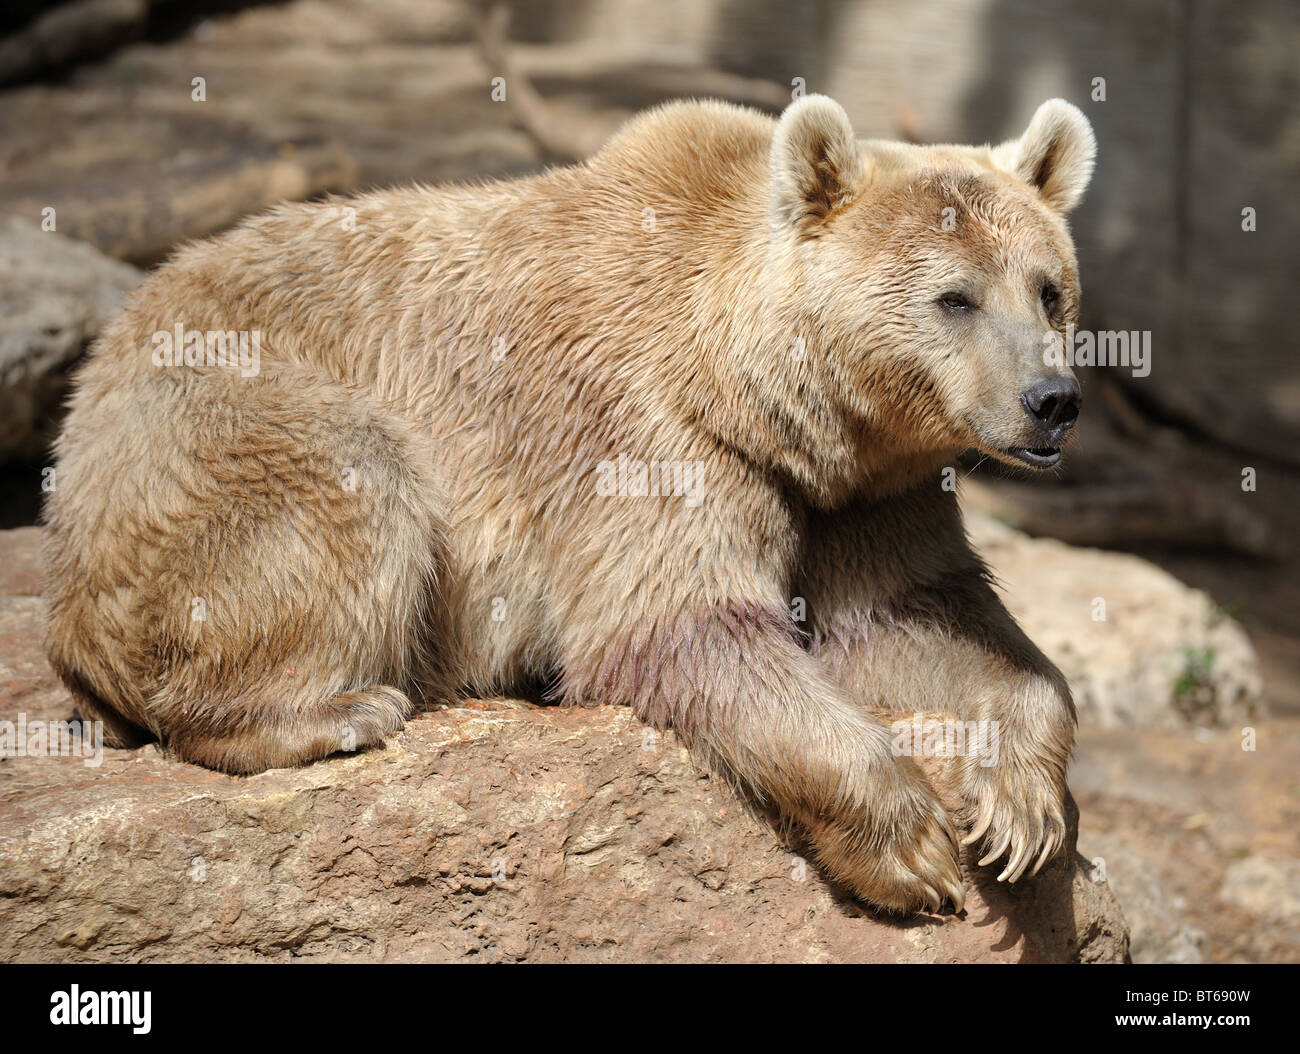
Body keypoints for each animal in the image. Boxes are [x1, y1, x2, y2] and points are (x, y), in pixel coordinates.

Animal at [42, 93, 1095, 914]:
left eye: (1048, 289)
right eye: (954, 298)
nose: (1051, 400)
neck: (766, 399)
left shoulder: (867, 493)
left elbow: (916, 615)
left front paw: (1018, 809)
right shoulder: (647, 437)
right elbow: (680, 624)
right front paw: (913, 851)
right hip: (210, 429)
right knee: (343, 482)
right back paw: (340, 709)